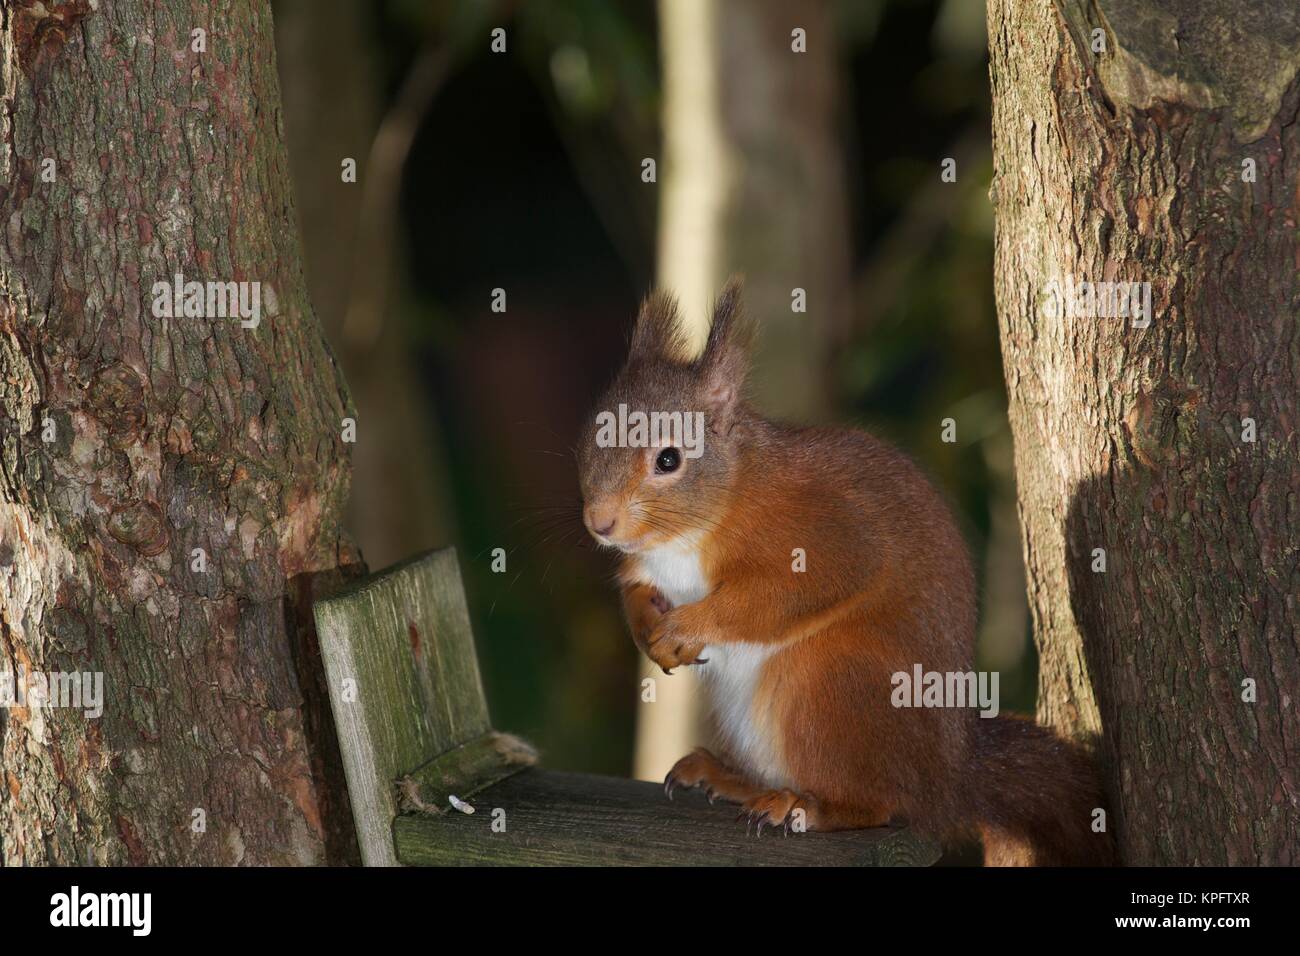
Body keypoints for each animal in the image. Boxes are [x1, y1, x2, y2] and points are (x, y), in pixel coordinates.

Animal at [576, 279, 1115, 866]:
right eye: (590, 433)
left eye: (669, 459)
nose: (599, 522)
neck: (705, 517)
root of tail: (947, 785)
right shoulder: (647, 563)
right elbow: (635, 585)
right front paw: (645, 628)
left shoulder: (827, 534)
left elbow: (805, 586)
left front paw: (683, 628)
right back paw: (732, 779)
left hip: (832, 683)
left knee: (880, 803)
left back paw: (803, 808)